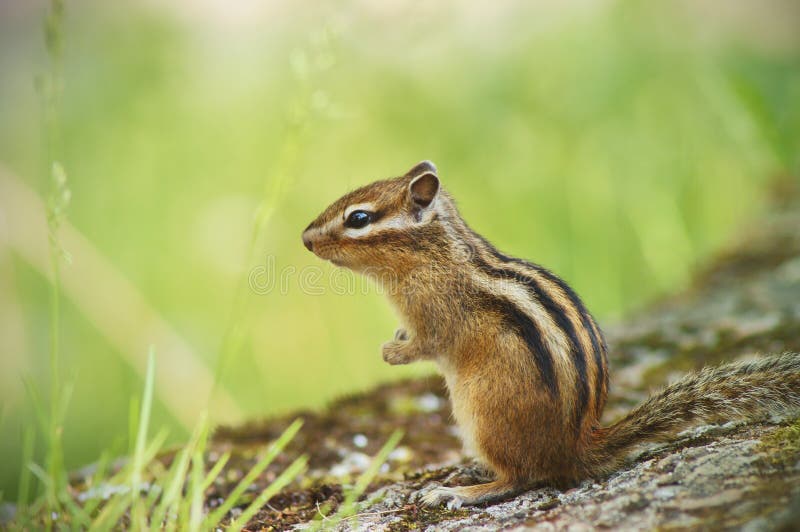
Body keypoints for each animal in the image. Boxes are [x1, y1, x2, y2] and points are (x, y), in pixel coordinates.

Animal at [301, 161, 800, 508]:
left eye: (359, 218)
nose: (305, 239)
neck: (434, 254)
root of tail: (576, 447)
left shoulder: (438, 314)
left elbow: (427, 344)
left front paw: (391, 351)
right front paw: (394, 336)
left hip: (482, 412)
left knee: (522, 476)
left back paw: (462, 492)